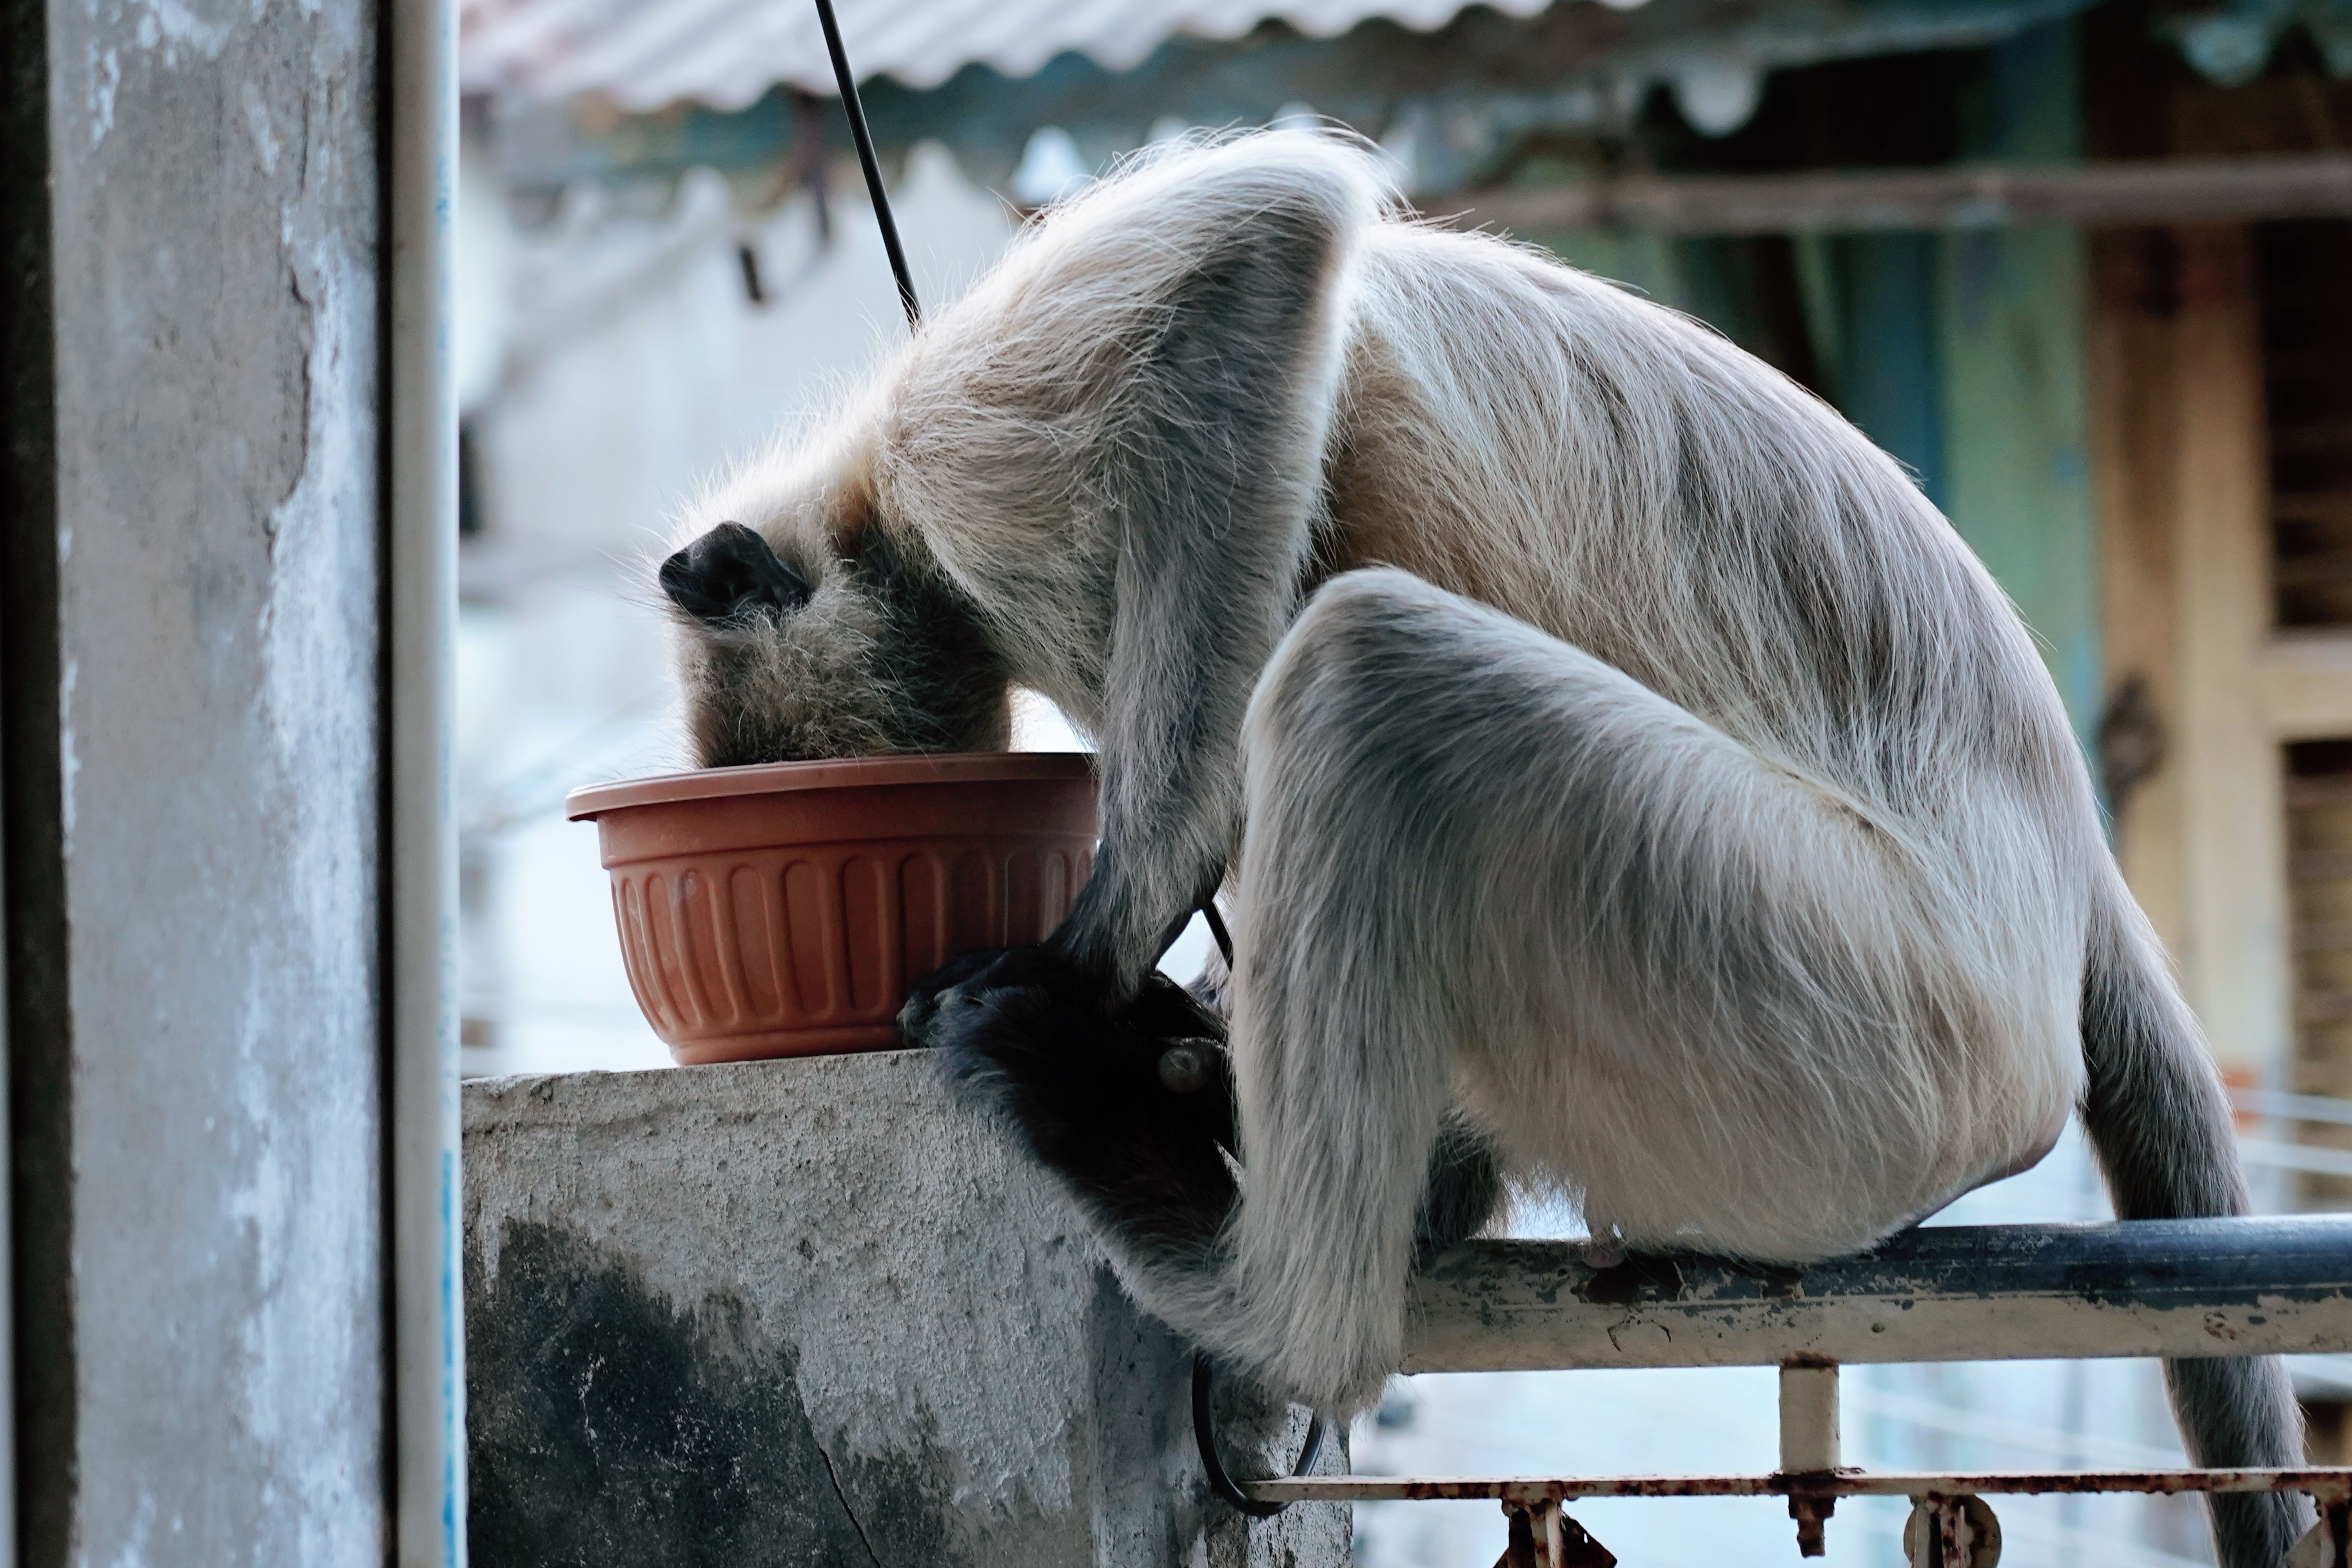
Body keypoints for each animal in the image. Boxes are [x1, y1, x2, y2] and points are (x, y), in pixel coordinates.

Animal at [655, 131, 2307, 1566]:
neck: (890, 520)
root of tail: (2071, 867)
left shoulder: (967, 459)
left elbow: (1262, 239)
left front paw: (1101, 938)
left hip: (1860, 1006)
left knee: (1361, 673)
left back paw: (1250, 1274)